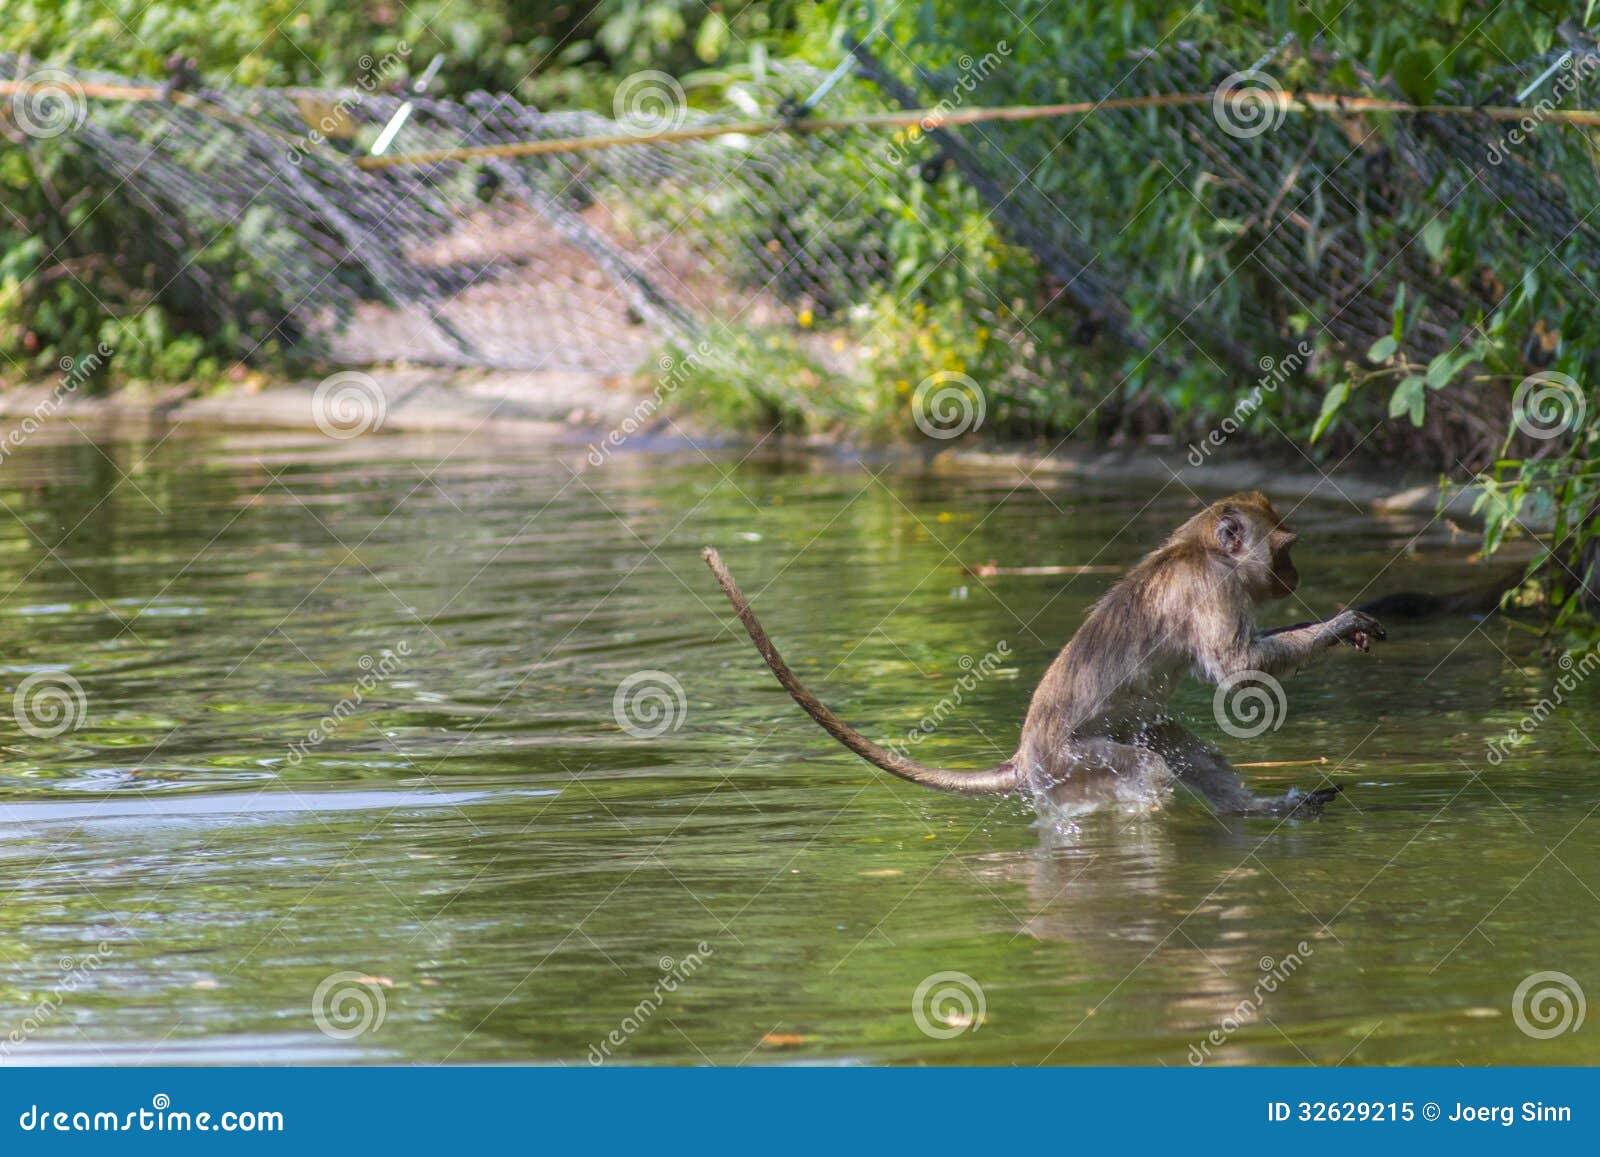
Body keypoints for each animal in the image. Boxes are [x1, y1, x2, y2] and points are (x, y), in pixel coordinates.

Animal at [703, 491, 1385, 819]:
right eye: (1285, 550)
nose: (1295, 575)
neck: (1197, 550)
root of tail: (1023, 751)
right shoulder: (1212, 587)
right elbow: (1235, 670)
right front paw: (1339, 625)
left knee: (1171, 747)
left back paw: (1256, 812)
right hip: (1067, 763)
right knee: (1145, 771)